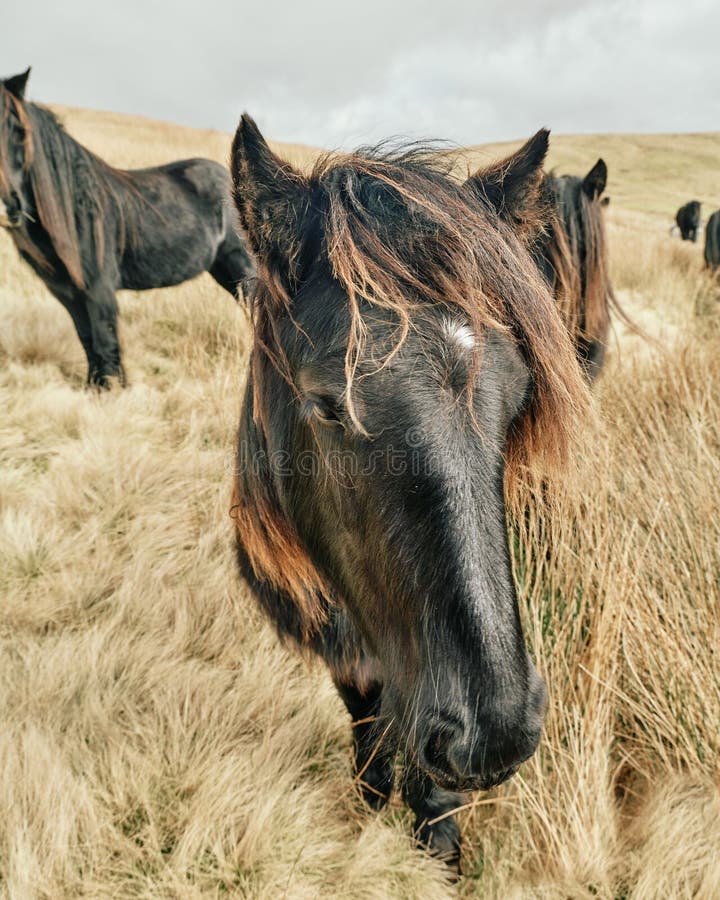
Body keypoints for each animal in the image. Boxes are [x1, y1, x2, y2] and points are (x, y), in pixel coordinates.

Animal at [0, 68, 254, 387]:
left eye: (19, 131)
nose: (8, 206)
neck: (75, 206)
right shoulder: (68, 293)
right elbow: (87, 339)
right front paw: (94, 387)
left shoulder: (98, 289)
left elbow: (104, 338)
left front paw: (112, 387)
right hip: (222, 268)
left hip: (241, 263)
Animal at [229, 115, 589, 870]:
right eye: (327, 404)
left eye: (520, 396)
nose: (494, 735)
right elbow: (367, 709)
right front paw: (370, 799)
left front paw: (436, 831)